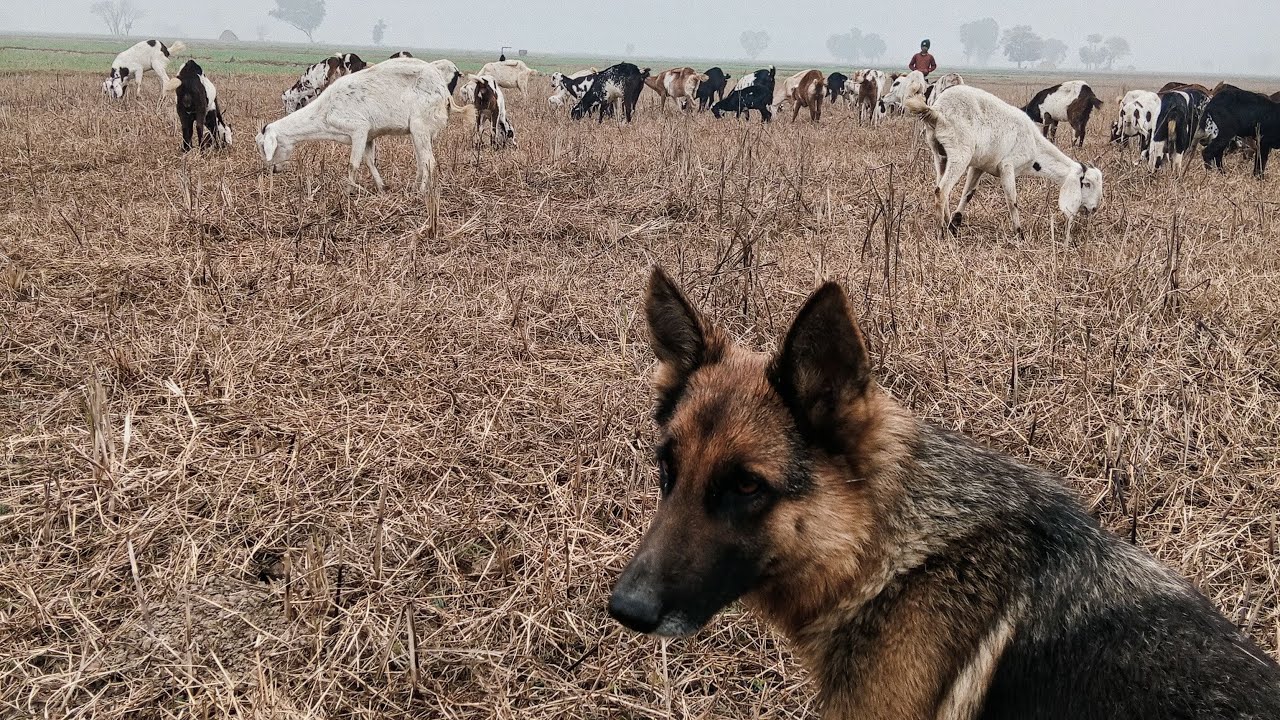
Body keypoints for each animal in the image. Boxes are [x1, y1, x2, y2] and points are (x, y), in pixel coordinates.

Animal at [907, 86, 1103, 240]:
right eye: (1086, 184)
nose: (1094, 208)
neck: (1035, 145)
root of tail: (938, 112)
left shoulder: (979, 165)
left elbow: (968, 194)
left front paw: (955, 224)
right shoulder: (1007, 167)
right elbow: (1012, 201)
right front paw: (1020, 234)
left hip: (940, 155)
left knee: (943, 187)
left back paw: (946, 224)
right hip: (960, 154)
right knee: (941, 191)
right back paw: (941, 233)